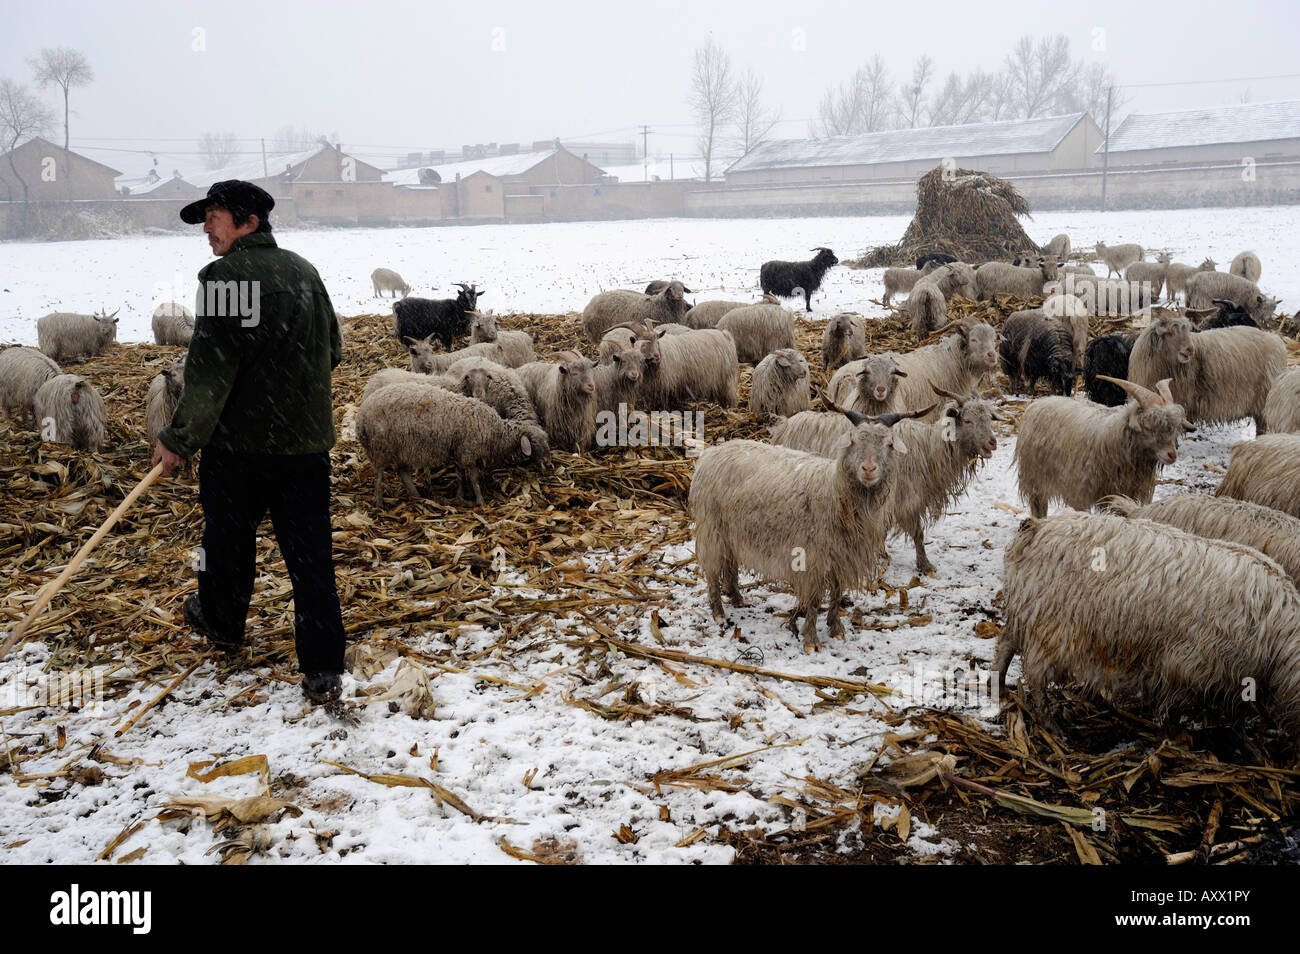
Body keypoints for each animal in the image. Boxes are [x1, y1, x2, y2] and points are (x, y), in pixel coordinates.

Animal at [355, 381, 550, 507]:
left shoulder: (458, 452)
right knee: (379, 475)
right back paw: (379, 502)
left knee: (402, 473)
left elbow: (460, 476)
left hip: (403, 448)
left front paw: (460, 497)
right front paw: (480, 502)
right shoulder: (468, 452)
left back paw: (418, 496)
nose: (549, 463)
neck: (496, 432)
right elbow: (473, 478)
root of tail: (360, 417)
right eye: (535, 442)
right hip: (381, 448)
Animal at [689, 414, 906, 651]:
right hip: (711, 528)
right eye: (853, 441)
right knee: (712, 571)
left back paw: (736, 596)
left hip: (732, 530)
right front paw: (811, 640)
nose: (868, 469)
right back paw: (718, 613)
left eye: (889, 444)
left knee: (730, 562)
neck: (835, 493)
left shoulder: (842, 556)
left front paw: (836, 628)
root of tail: (711, 453)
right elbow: (814, 599)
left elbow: (837, 593)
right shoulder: (812, 558)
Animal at [995, 510, 1300, 736]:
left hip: (1026, 612)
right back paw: (1050, 724)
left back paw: (998, 686)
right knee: (1035, 677)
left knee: (1004, 645)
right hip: (1049, 627)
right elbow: (1178, 705)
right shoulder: (1190, 667)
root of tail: (1037, 528)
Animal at [1015, 375, 1187, 518]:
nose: (1172, 455)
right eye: (1150, 427)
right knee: (1038, 507)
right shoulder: (1080, 493)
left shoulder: (1124, 493)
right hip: (1034, 478)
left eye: (1173, 429)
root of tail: (1040, 401)